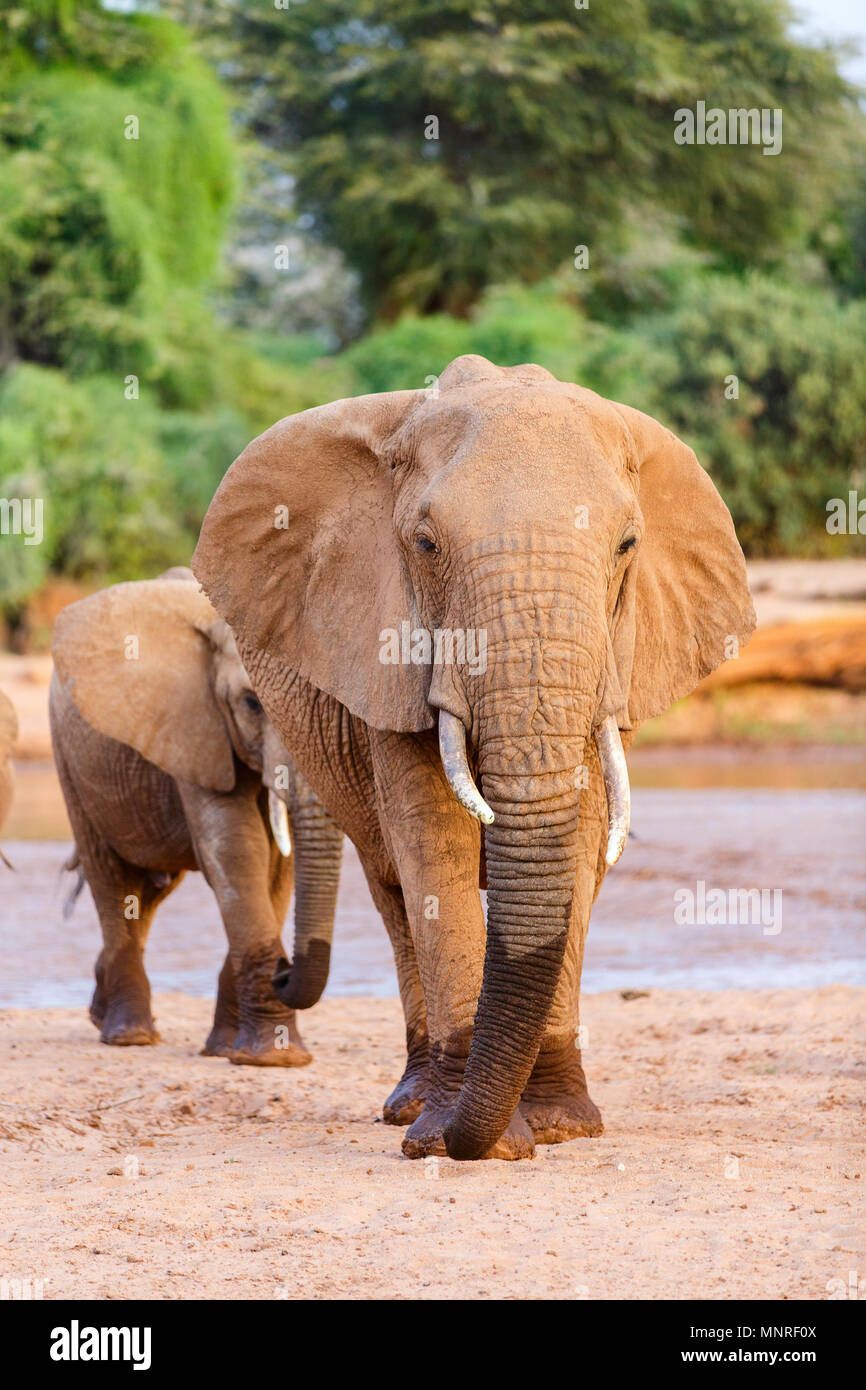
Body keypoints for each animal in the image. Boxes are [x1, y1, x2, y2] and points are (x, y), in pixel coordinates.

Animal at [49, 568, 344, 1064]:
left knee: (147, 895)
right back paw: (128, 1036)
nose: (285, 972)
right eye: (252, 703)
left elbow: (276, 869)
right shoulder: (193, 724)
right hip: (68, 757)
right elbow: (236, 852)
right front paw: (274, 1059)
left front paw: (232, 1051)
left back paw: (101, 1013)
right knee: (112, 878)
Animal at [191, 354, 755, 1156]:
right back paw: (413, 1105)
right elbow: (435, 847)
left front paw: (559, 1127)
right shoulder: (389, 652)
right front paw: (449, 1140)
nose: (458, 1136)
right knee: (394, 890)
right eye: (426, 545)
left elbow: (581, 838)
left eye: (627, 546)